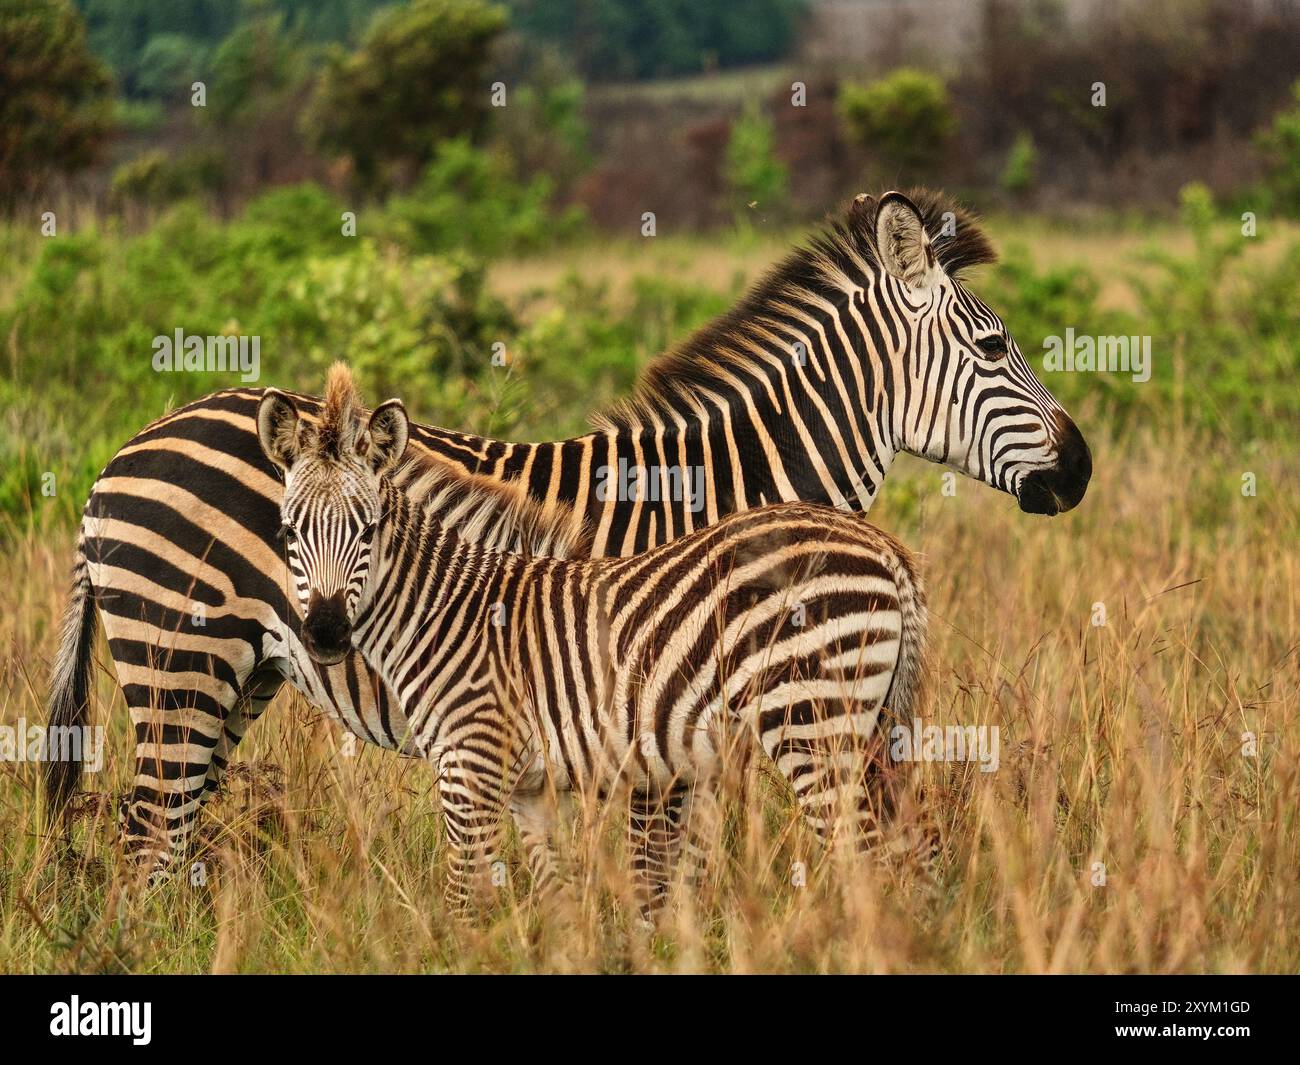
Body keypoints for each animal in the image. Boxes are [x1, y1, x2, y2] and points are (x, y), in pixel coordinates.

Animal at [260, 364, 928, 913]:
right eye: (288, 530)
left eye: (367, 529)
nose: (325, 633)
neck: (448, 611)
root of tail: (884, 547)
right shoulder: (528, 789)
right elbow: (556, 897)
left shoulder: (470, 765)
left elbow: (462, 903)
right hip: (866, 730)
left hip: (811, 723)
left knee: (866, 862)